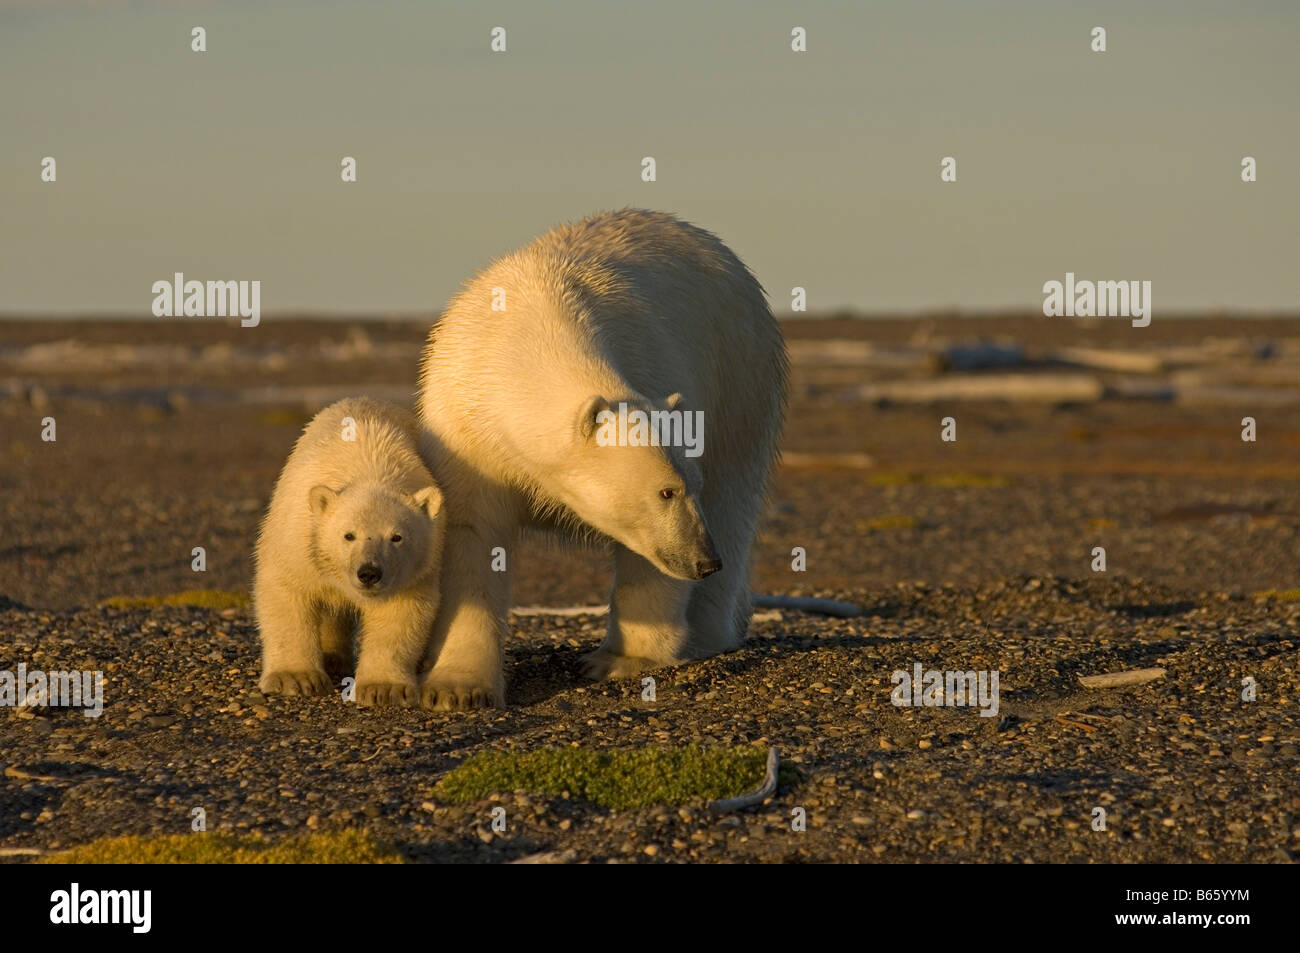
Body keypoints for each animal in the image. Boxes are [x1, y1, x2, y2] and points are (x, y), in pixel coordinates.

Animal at [254, 397, 445, 707]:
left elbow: (400, 613)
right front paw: (295, 679)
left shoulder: (415, 568)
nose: (369, 573)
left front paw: (384, 688)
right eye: (348, 535)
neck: (370, 465)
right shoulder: (298, 535)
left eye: (397, 537)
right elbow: (287, 590)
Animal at [416, 208, 788, 709]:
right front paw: (456, 688)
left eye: (687, 485)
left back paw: (707, 634)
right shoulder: (467, 433)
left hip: (740, 381)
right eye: (666, 491)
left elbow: (646, 561)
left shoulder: (656, 371)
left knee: (732, 499)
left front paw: (618, 661)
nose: (704, 560)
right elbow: (472, 534)